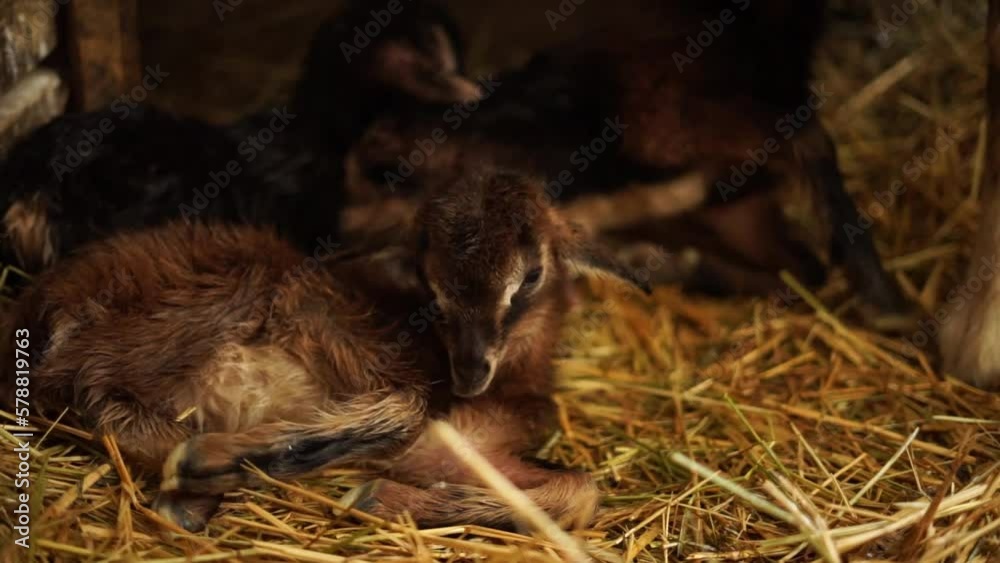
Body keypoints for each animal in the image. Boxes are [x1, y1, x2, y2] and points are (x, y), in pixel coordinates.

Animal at [2, 170, 647, 531]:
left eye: (531, 275)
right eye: (428, 278)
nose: (469, 372)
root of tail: (41, 305)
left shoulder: (462, 447)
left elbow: (581, 491)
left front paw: (391, 500)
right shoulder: (323, 323)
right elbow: (409, 412)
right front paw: (372, 496)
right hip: (213, 300)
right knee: (92, 388)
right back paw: (201, 474)